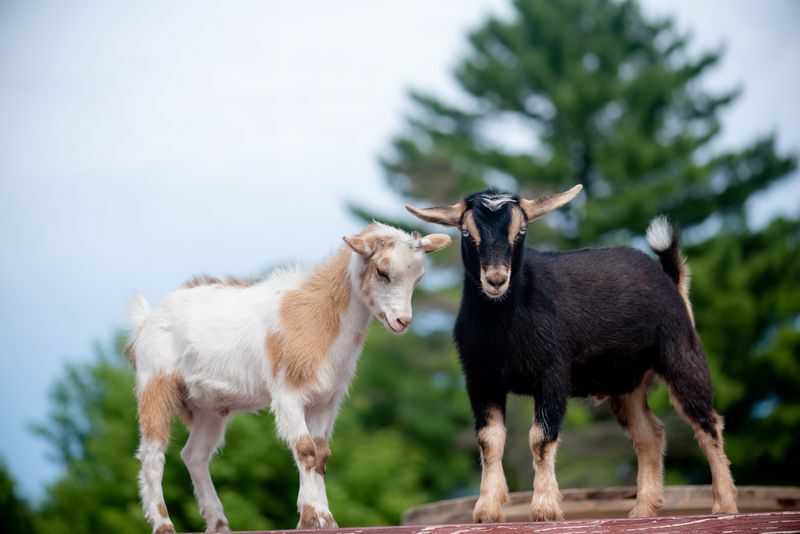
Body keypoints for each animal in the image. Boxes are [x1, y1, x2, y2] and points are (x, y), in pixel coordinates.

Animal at [125, 224, 450, 532]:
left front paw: (323, 518)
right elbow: (305, 450)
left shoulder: (326, 399)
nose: (402, 321)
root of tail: (146, 321)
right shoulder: (287, 393)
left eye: (418, 278)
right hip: (155, 383)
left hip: (209, 407)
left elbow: (320, 455)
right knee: (153, 455)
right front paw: (312, 518)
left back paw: (219, 524)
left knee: (195, 455)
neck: (318, 315)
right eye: (382, 271)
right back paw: (163, 524)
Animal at [406, 187, 736, 524]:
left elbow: (541, 437)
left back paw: (724, 506)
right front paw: (487, 510)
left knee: (707, 423)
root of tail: (671, 280)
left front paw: (544, 509)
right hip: (625, 383)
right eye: (465, 232)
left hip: (680, 353)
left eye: (521, 231)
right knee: (650, 435)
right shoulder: (481, 379)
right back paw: (642, 510)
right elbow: (489, 439)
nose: (496, 279)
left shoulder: (553, 373)